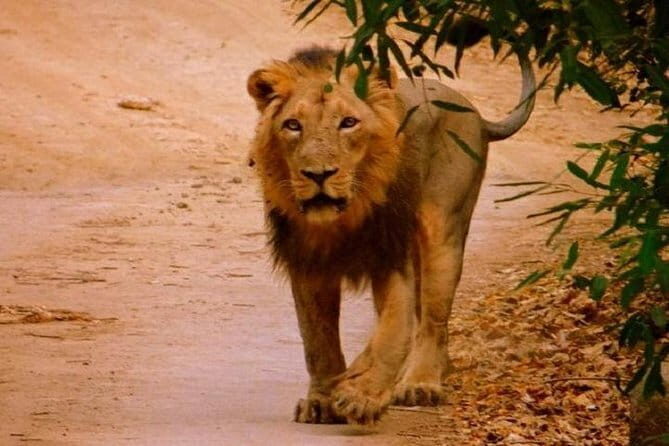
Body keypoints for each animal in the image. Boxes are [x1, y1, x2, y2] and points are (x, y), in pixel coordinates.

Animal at [246, 45, 535, 425]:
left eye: (348, 122)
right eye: (293, 125)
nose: (318, 174)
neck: (343, 218)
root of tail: (473, 111)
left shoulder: (391, 256)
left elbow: (392, 331)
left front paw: (361, 394)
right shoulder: (308, 265)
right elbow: (317, 341)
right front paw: (322, 400)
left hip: (443, 230)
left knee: (432, 321)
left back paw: (420, 383)